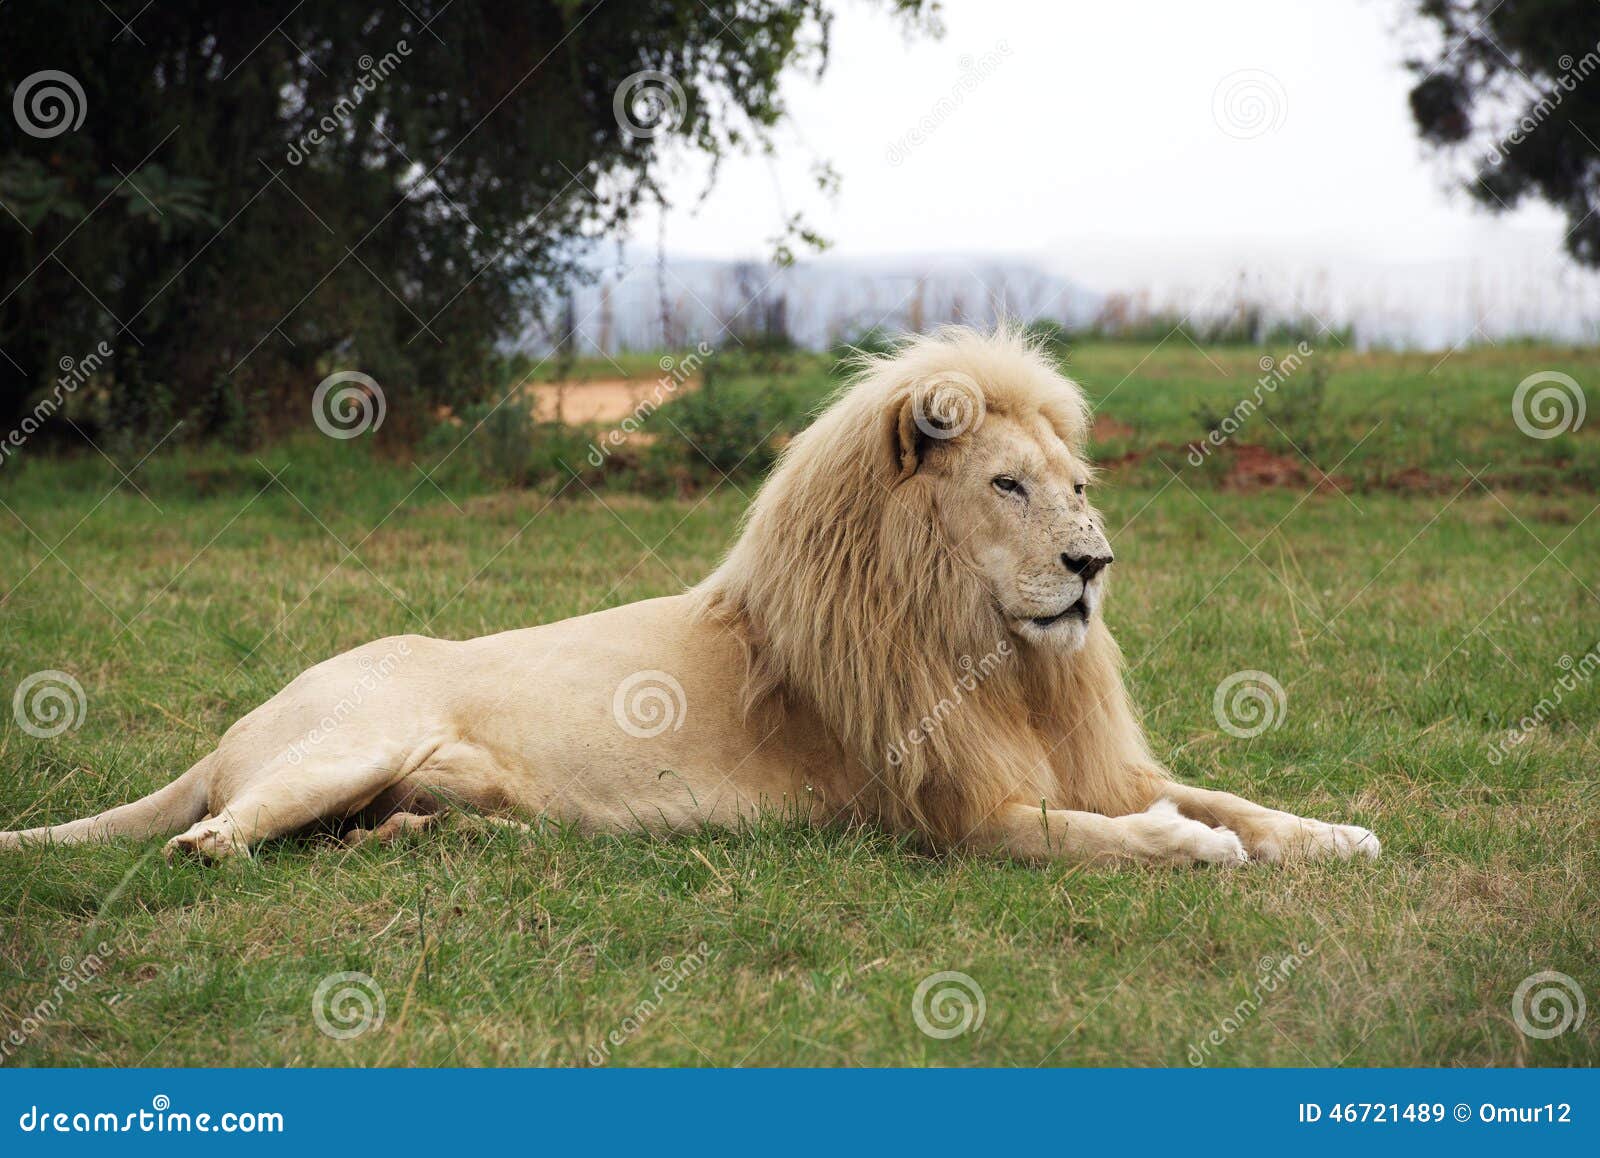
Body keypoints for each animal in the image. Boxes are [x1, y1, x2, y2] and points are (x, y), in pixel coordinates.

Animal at [2, 326, 1378, 867]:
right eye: (1007, 486)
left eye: (1078, 486)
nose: (1093, 567)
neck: (998, 659)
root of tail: (235, 730)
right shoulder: (949, 818)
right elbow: (1114, 835)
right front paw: (1195, 847)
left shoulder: (1091, 760)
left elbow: (1228, 795)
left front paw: (1327, 834)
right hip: (347, 743)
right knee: (205, 839)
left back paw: (445, 838)